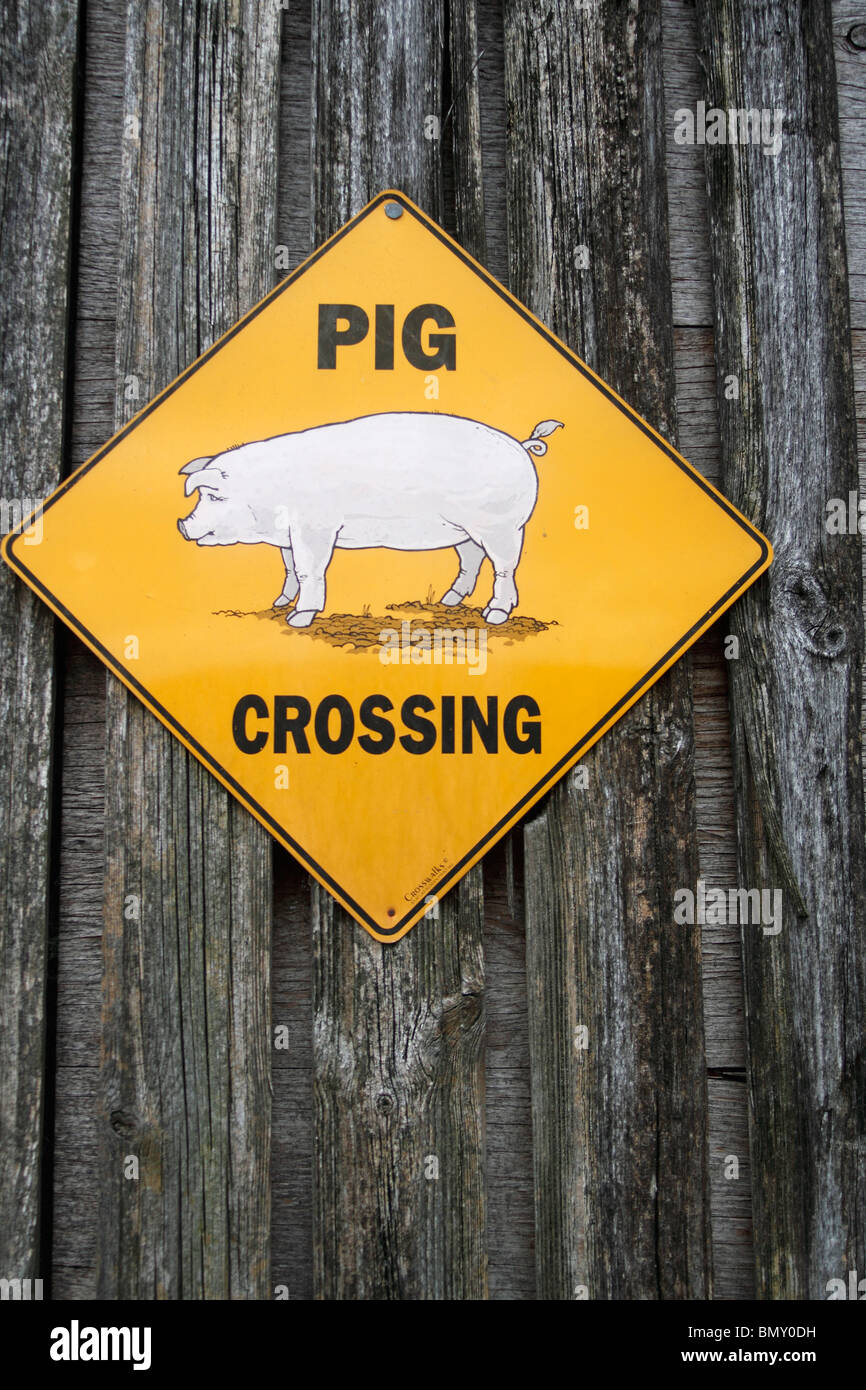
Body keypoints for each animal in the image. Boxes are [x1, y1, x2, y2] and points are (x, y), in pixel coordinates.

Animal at [177, 412, 563, 627]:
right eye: (201, 496)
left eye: (214, 496)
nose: (182, 524)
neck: (268, 492)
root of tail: (522, 446)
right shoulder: (287, 535)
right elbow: (289, 568)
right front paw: (278, 604)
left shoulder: (315, 528)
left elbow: (308, 570)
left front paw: (298, 618)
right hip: (465, 531)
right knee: (472, 560)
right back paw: (448, 601)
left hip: (503, 528)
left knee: (504, 568)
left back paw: (494, 615)